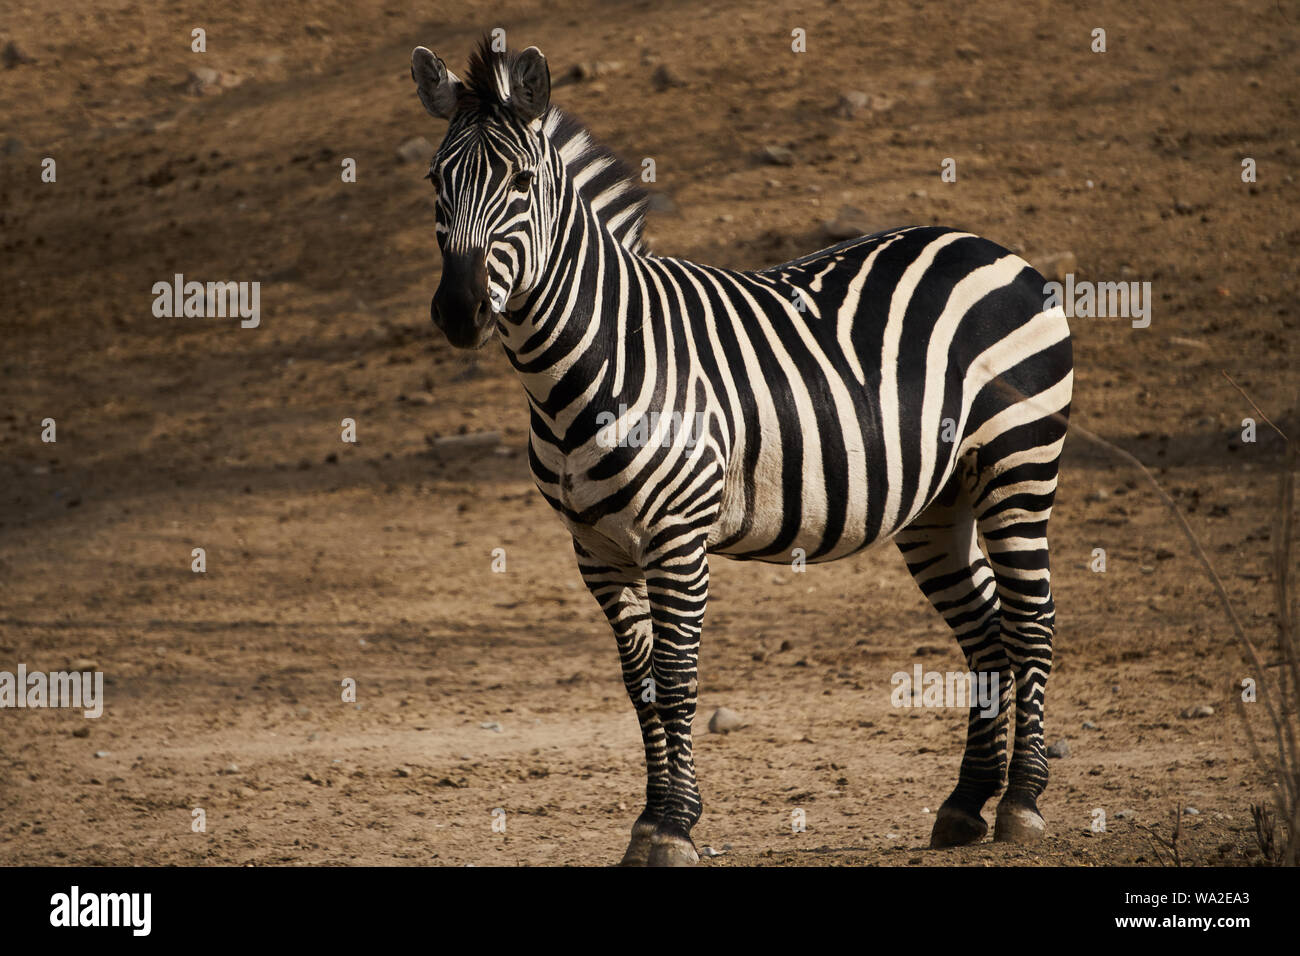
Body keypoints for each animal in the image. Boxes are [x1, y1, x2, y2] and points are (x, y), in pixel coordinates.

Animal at [410, 38, 1073, 866]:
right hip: (937, 499)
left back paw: (1022, 801)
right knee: (985, 628)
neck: (587, 367)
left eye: (522, 183)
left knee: (1030, 619)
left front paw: (672, 825)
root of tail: (990, 246)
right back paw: (965, 804)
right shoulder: (595, 550)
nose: (459, 312)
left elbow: (675, 678)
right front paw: (649, 821)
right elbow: (639, 684)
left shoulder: (676, 537)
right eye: (435, 182)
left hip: (1019, 464)